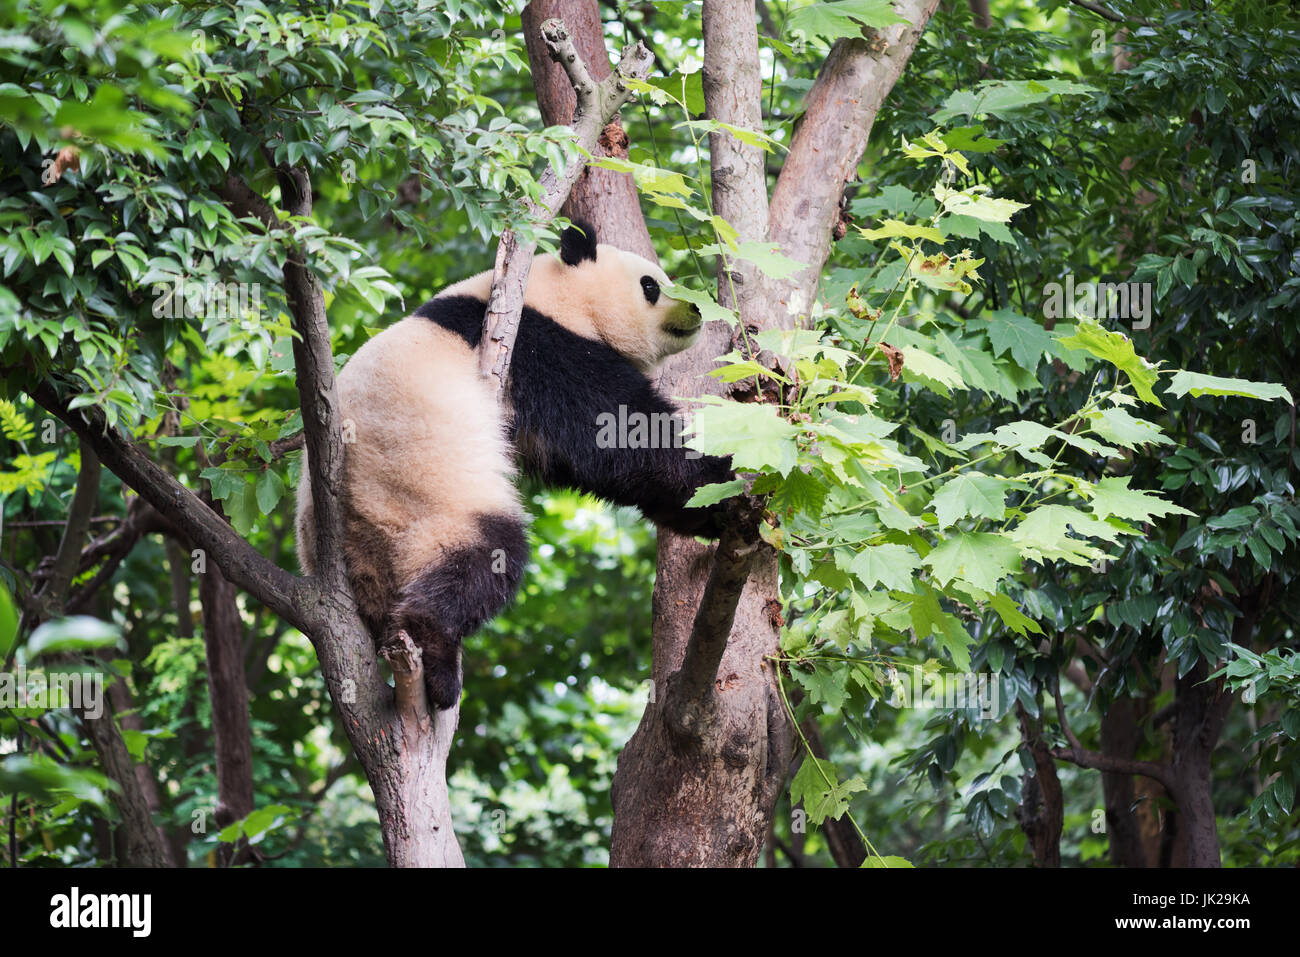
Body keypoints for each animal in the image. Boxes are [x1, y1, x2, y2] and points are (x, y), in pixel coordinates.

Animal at [295, 221, 732, 710]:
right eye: (651, 285)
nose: (696, 309)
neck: (549, 291)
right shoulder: (537, 343)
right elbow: (617, 430)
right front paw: (723, 481)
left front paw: (707, 512)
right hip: (419, 499)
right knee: (485, 556)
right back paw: (438, 658)